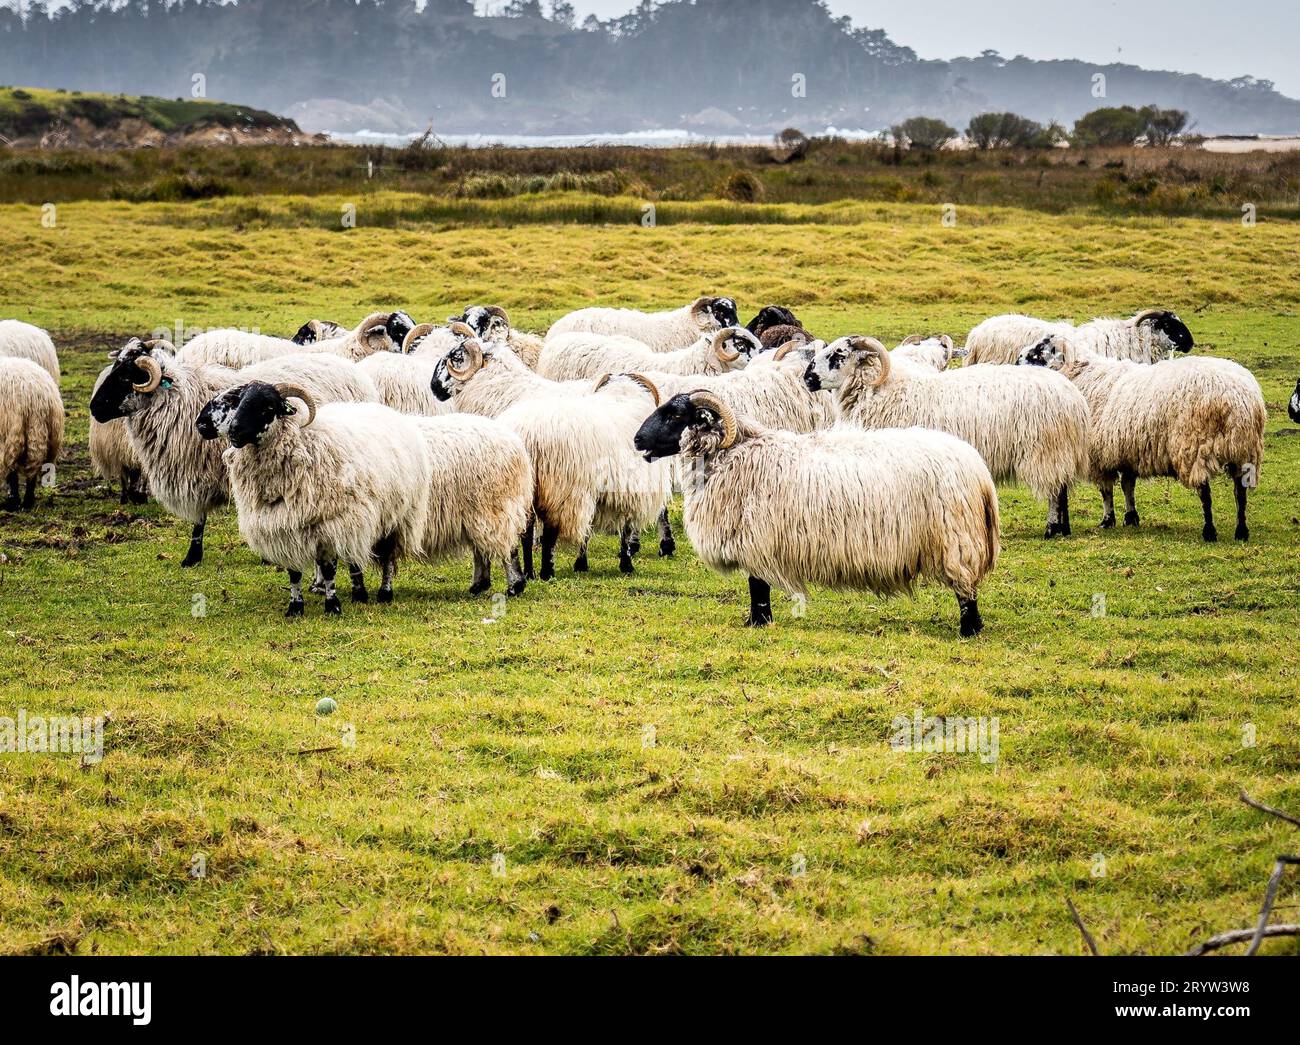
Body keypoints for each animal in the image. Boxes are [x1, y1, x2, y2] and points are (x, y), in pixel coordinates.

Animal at [0, 358, 63, 511]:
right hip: (43, 433)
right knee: (33, 467)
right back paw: (27, 502)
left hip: (11, 434)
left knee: (12, 469)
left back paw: (14, 502)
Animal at [202, 382, 532, 615]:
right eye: (239, 403)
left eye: (267, 406)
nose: (230, 431)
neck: (306, 442)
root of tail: (513, 440)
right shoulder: (287, 525)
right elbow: (296, 571)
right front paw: (298, 605)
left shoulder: (337, 521)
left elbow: (331, 566)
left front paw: (334, 602)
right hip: (473, 513)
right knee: (480, 550)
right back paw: (478, 585)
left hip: (491, 508)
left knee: (507, 547)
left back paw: (514, 586)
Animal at [632, 390, 1000, 637]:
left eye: (676, 415)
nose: (636, 440)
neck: (734, 455)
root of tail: (977, 468)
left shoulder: (756, 539)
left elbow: (757, 586)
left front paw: (758, 622)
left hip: (957, 539)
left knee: (965, 589)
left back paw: (969, 629)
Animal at [804, 336, 1090, 538]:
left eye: (838, 354)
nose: (807, 377)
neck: (884, 391)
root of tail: (1075, 398)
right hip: (1059, 449)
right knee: (1064, 487)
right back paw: (1064, 529)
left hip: (1046, 449)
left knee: (1055, 490)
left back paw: (1051, 529)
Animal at [1017, 336, 1266, 542]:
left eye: (1039, 350)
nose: (1017, 360)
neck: (1082, 374)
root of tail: (1236, 397)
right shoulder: (1127, 452)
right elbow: (1128, 486)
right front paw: (1131, 517)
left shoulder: (1099, 455)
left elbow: (1106, 491)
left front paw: (1108, 520)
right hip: (1244, 450)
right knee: (1240, 493)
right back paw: (1241, 531)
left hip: (1195, 447)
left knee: (1205, 493)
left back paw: (1210, 532)